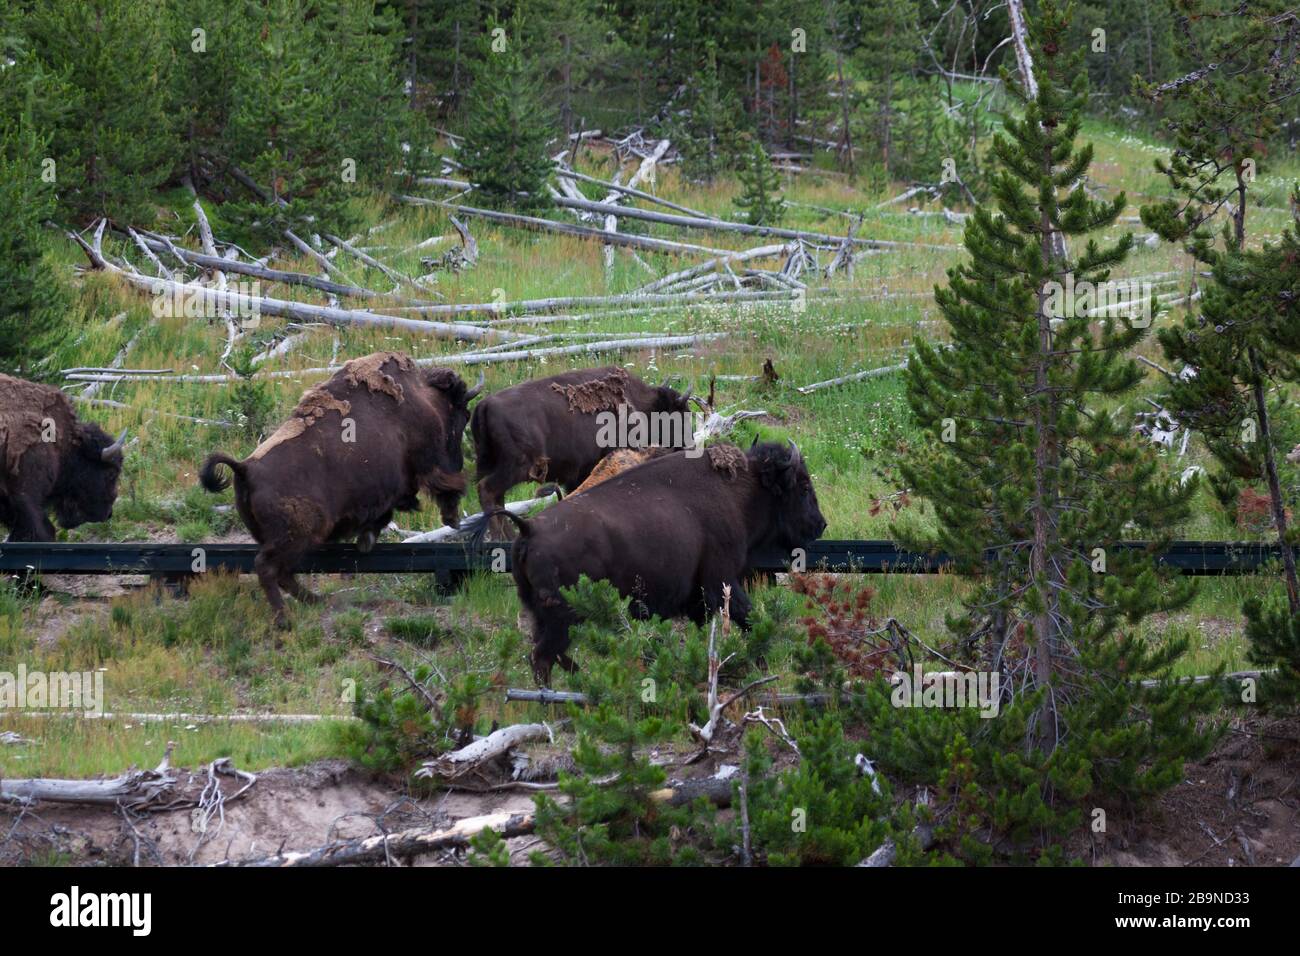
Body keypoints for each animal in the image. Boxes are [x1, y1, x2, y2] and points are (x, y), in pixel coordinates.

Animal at [199, 352, 479, 627]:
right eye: (463, 415)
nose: (458, 462)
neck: (424, 396)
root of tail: (245, 468)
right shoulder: (425, 466)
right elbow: (438, 488)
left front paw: (366, 540)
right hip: (296, 537)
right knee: (267, 568)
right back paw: (285, 619)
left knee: (282, 573)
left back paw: (315, 600)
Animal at [469, 366, 692, 538]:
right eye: (680, 415)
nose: (689, 446)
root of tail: (484, 405)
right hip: (516, 468)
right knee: (487, 491)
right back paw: (500, 538)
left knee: (497, 499)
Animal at [485, 439, 826, 683]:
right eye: (803, 487)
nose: (819, 525)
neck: (744, 491)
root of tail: (528, 529)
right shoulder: (721, 581)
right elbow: (748, 616)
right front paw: (761, 664)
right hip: (563, 617)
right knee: (543, 657)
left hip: (542, 613)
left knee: (547, 655)